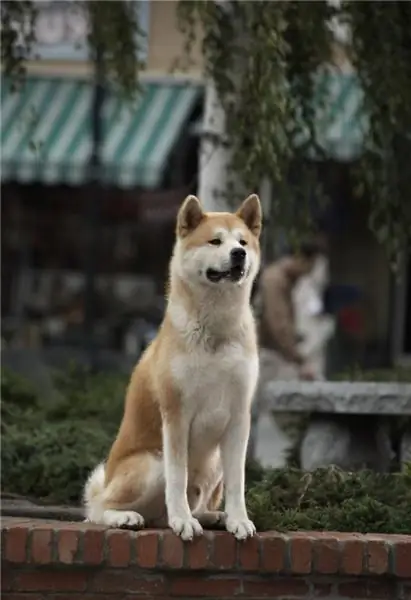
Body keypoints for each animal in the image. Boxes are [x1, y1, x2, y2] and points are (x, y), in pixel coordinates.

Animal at [83, 195, 262, 540]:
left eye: (243, 241)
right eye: (215, 241)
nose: (239, 254)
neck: (215, 330)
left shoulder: (239, 417)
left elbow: (238, 482)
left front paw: (238, 519)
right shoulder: (176, 414)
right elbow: (178, 478)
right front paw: (182, 521)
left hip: (213, 461)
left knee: (192, 505)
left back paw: (212, 516)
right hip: (151, 464)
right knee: (97, 509)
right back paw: (128, 517)